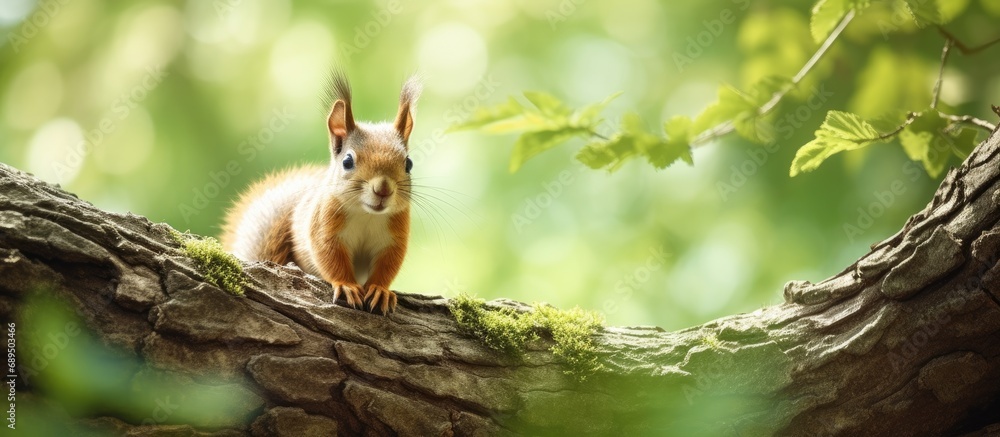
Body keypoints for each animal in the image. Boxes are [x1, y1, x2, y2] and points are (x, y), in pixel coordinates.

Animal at [221, 72, 420, 315]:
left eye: (408, 164)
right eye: (347, 161)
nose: (383, 189)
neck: (367, 214)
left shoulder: (393, 237)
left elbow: (388, 264)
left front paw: (380, 290)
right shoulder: (324, 225)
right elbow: (330, 257)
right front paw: (346, 285)